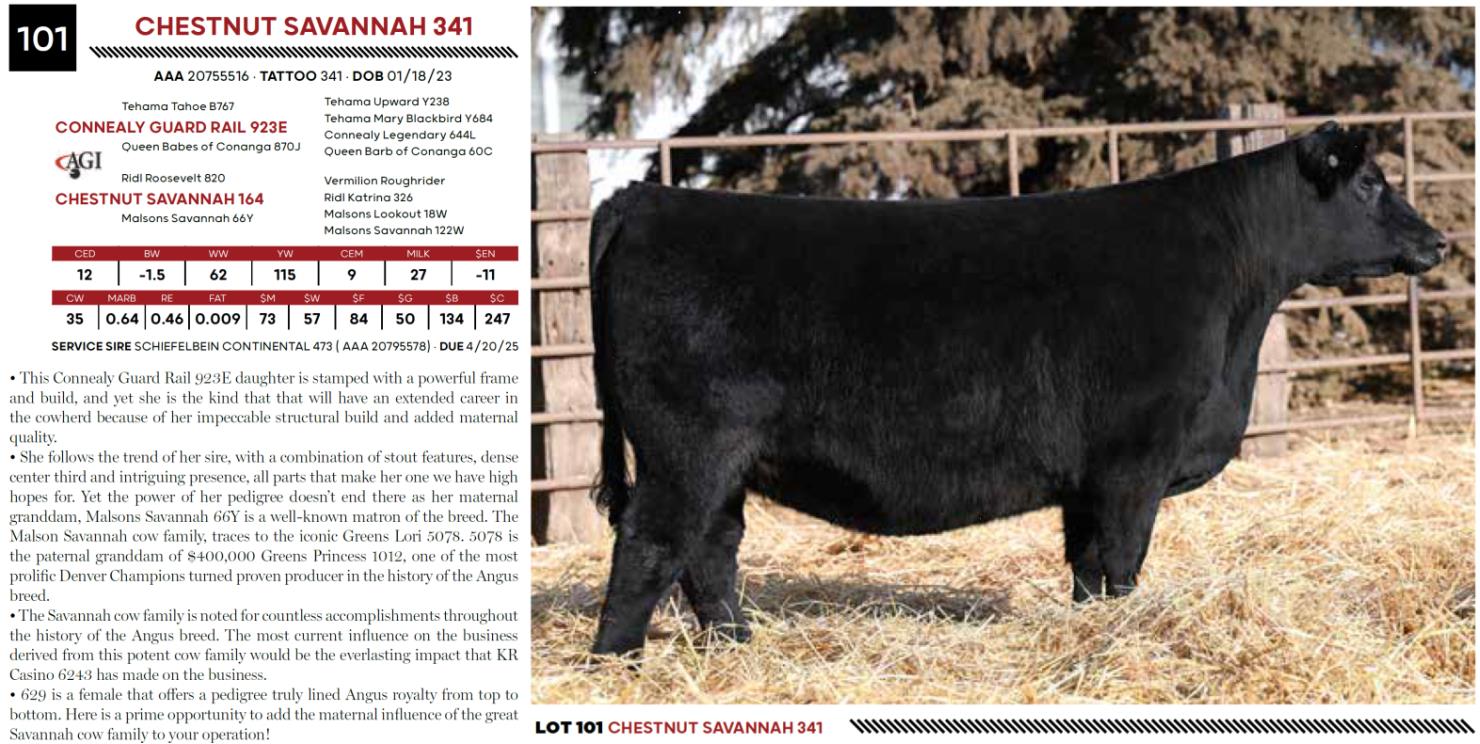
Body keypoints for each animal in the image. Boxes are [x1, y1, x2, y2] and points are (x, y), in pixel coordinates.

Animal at [583, 121, 1448, 656]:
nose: (1438, 241)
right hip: (686, 450)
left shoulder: (1089, 477)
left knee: (711, 553)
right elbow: (1123, 561)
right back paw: (615, 665)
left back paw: (736, 649)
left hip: (723, 464)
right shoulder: (1134, 461)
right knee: (650, 548)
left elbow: (1087, 567)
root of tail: (645, 197)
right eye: (1370, 185)